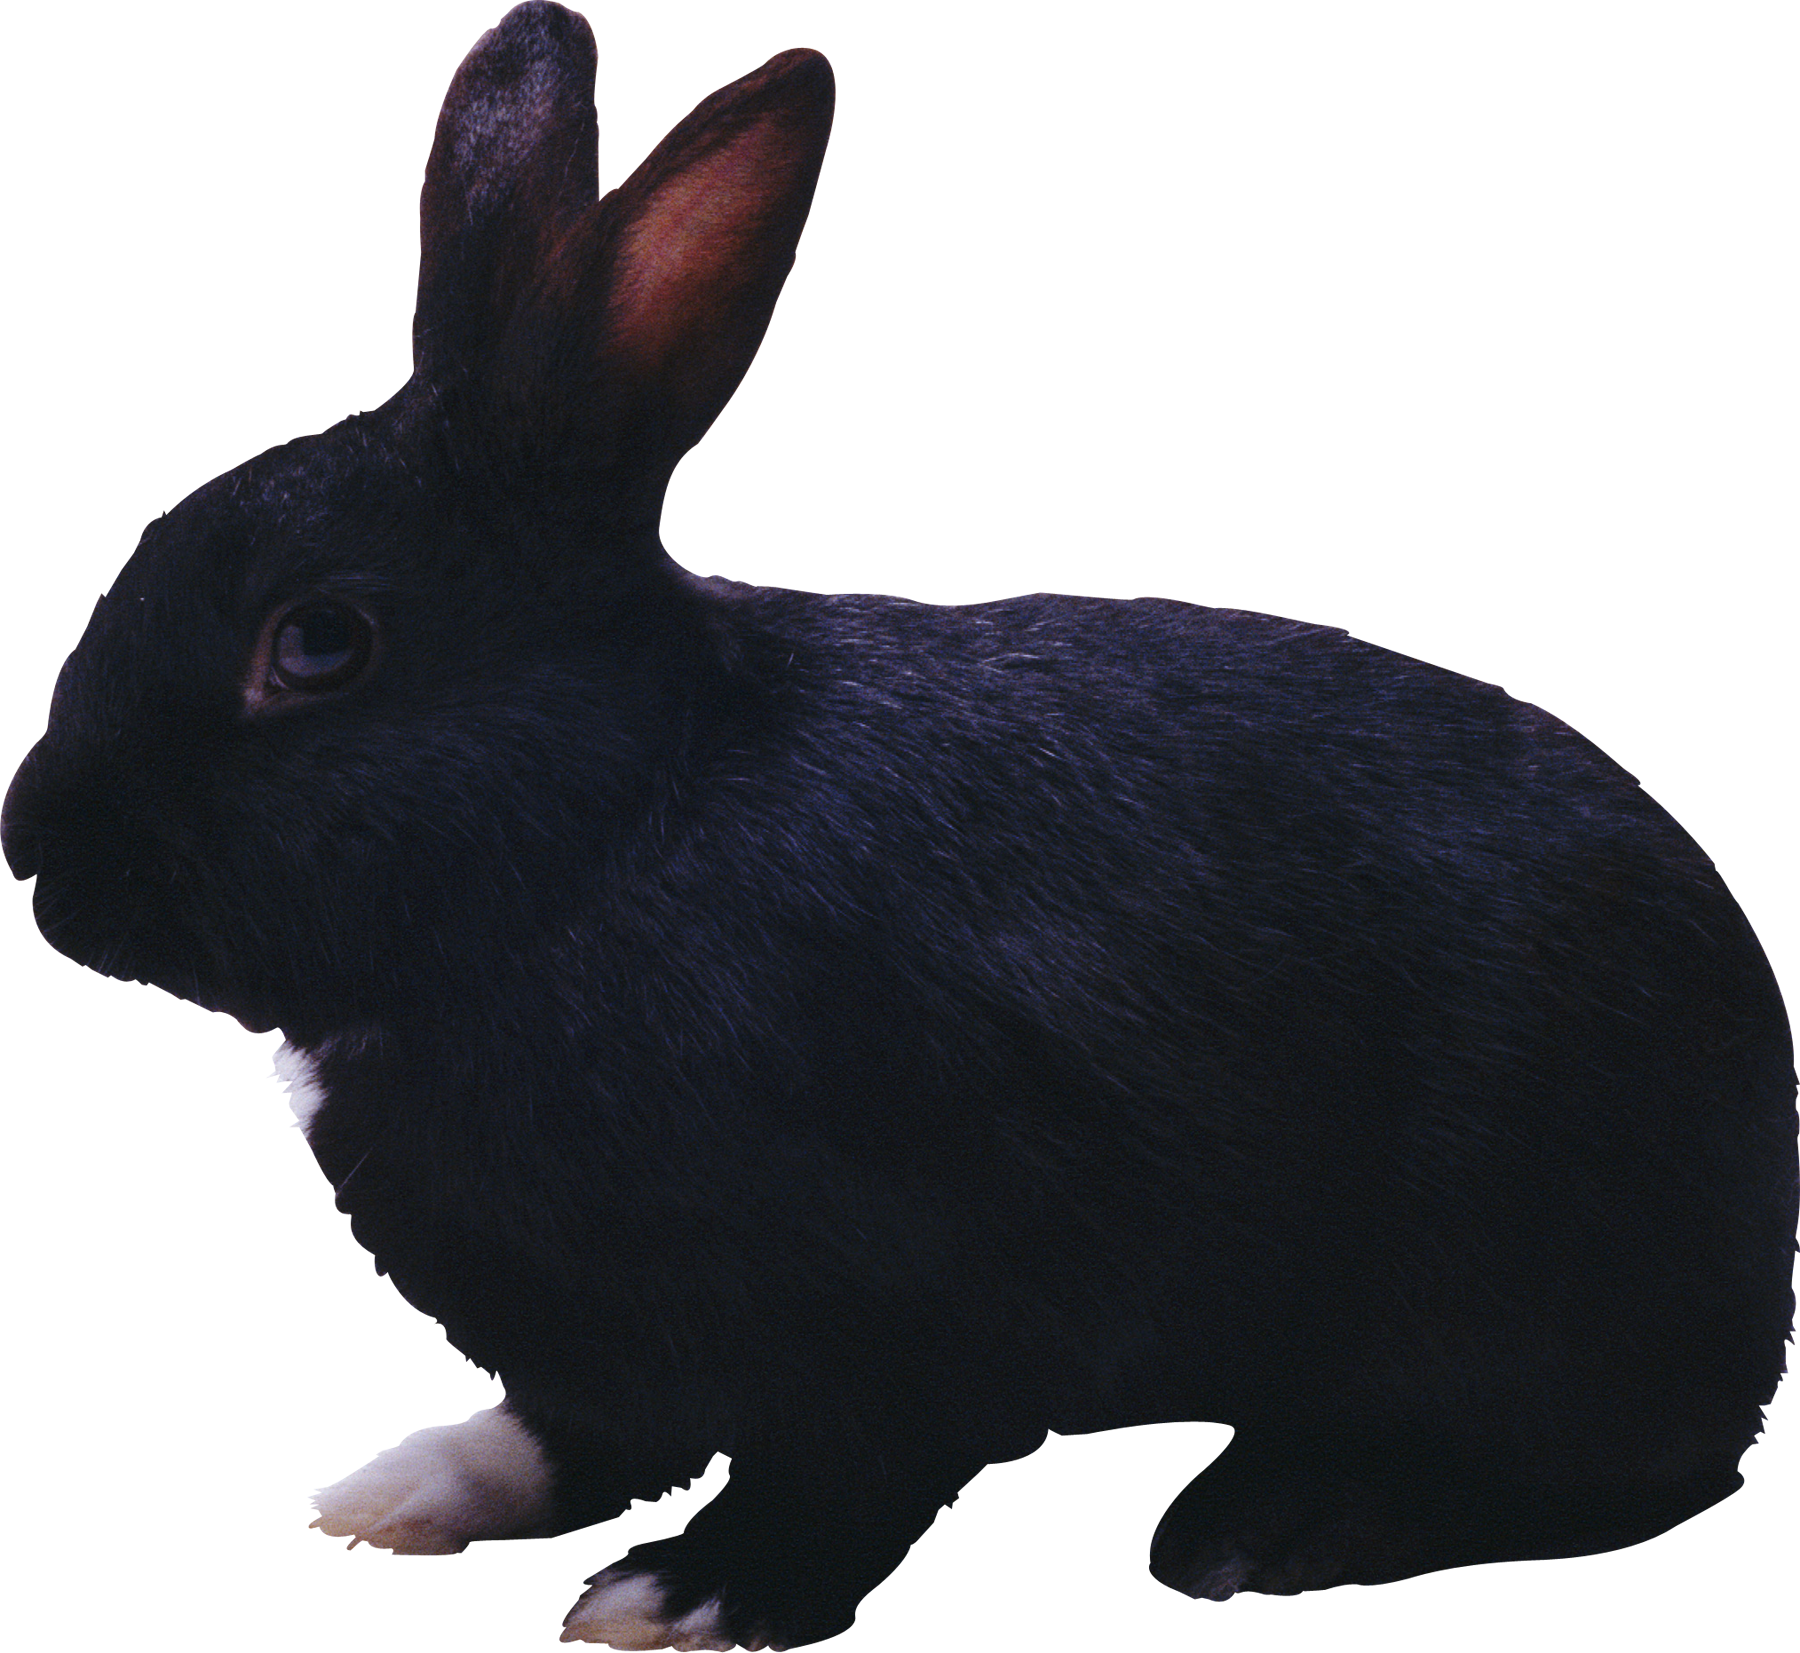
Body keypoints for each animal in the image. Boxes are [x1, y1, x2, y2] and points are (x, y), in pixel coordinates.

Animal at [5, 0, 1795, 1645]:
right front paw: (397, 1499)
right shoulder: (593, 1358)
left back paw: (1296, 1537)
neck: (601, 853)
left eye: (318, 645)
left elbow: (845, 1479)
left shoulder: (946, 1307)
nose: (49, 863)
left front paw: (680, 1599)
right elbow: (568, 1443)